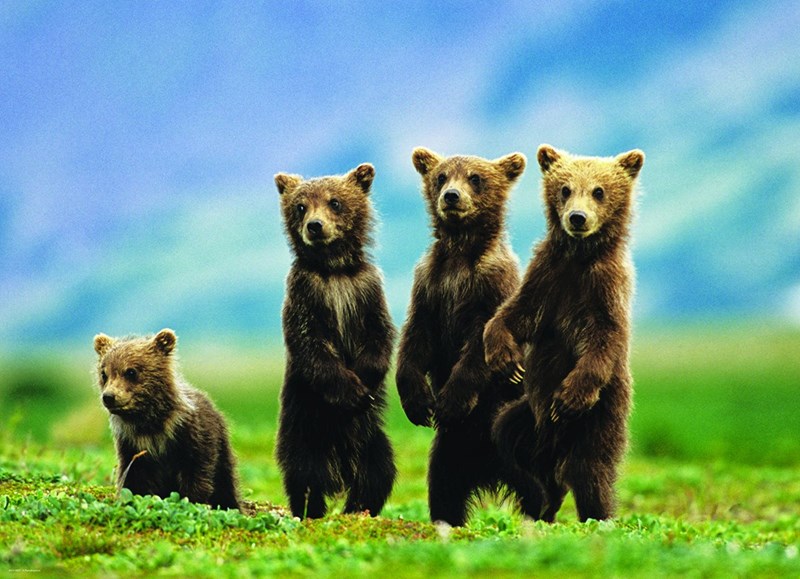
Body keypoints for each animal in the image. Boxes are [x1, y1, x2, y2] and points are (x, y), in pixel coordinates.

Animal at [93, 329, 240, 510]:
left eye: (131, 371)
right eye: (104, 373)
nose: (109, 397)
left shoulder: (191, 435)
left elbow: (196, 472)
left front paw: (193, 501)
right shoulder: (132, 443)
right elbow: (132, 476)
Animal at [274, 163, 397, 519]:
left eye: (335, 201)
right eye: (301, 206)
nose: (315, 226)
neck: (334, 271)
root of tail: (340, 472)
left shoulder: (366, 290)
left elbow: (380, 336)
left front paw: (366, 380)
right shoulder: (306, 293)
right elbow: (311, 346)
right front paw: (351, 390)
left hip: (370, 439)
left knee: (378, 472)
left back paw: (359, 508)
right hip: (305, 429)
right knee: (304, 475)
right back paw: (311, 509)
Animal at [395, 147, 544, 526]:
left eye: (475, 178)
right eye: (441, 176)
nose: (451, 196)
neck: (460, 253)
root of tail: (489, 471)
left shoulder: (490, 288)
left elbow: (479, 346)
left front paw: (451, 400)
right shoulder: (430, 286)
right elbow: (415, 339)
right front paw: (417, 401)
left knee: (538, 489)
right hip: (450, 450)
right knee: (443, 488)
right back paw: (446, 519)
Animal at [483, 144, 645, 522]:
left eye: (599, 191)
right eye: (565, 189)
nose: (577, 218)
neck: (578, 259)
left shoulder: (604, 290)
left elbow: (604, 340)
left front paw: (569, 397)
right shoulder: (546, 277)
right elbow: (513, 315)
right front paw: (506, 361)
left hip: (601, 418)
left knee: (589, 472)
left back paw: (594, 514)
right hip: (525, 416)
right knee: (505, 440)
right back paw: (540, 503)